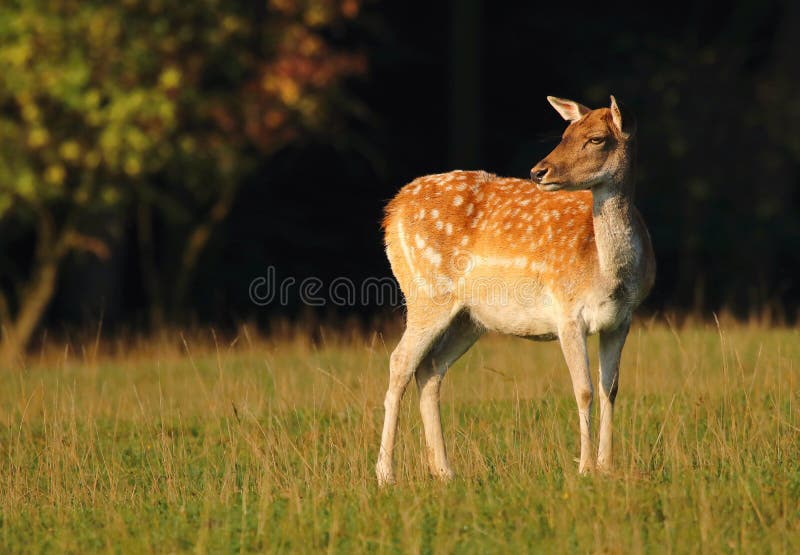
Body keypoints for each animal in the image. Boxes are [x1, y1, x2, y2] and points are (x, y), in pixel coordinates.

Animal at [375, 96, 655, 485]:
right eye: (565, 133)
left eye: (596, 138)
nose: (539, 171)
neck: (610, 274)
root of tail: (391, 211)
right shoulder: (567, 312)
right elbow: (584, 390)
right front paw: (585, 468)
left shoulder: (621, 320)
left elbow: (609, 389)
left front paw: (606, 467)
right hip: (425, 292)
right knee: (400, 362)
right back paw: (386, 474)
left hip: (469, 318)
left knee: (429, 369)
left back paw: (444, 471)